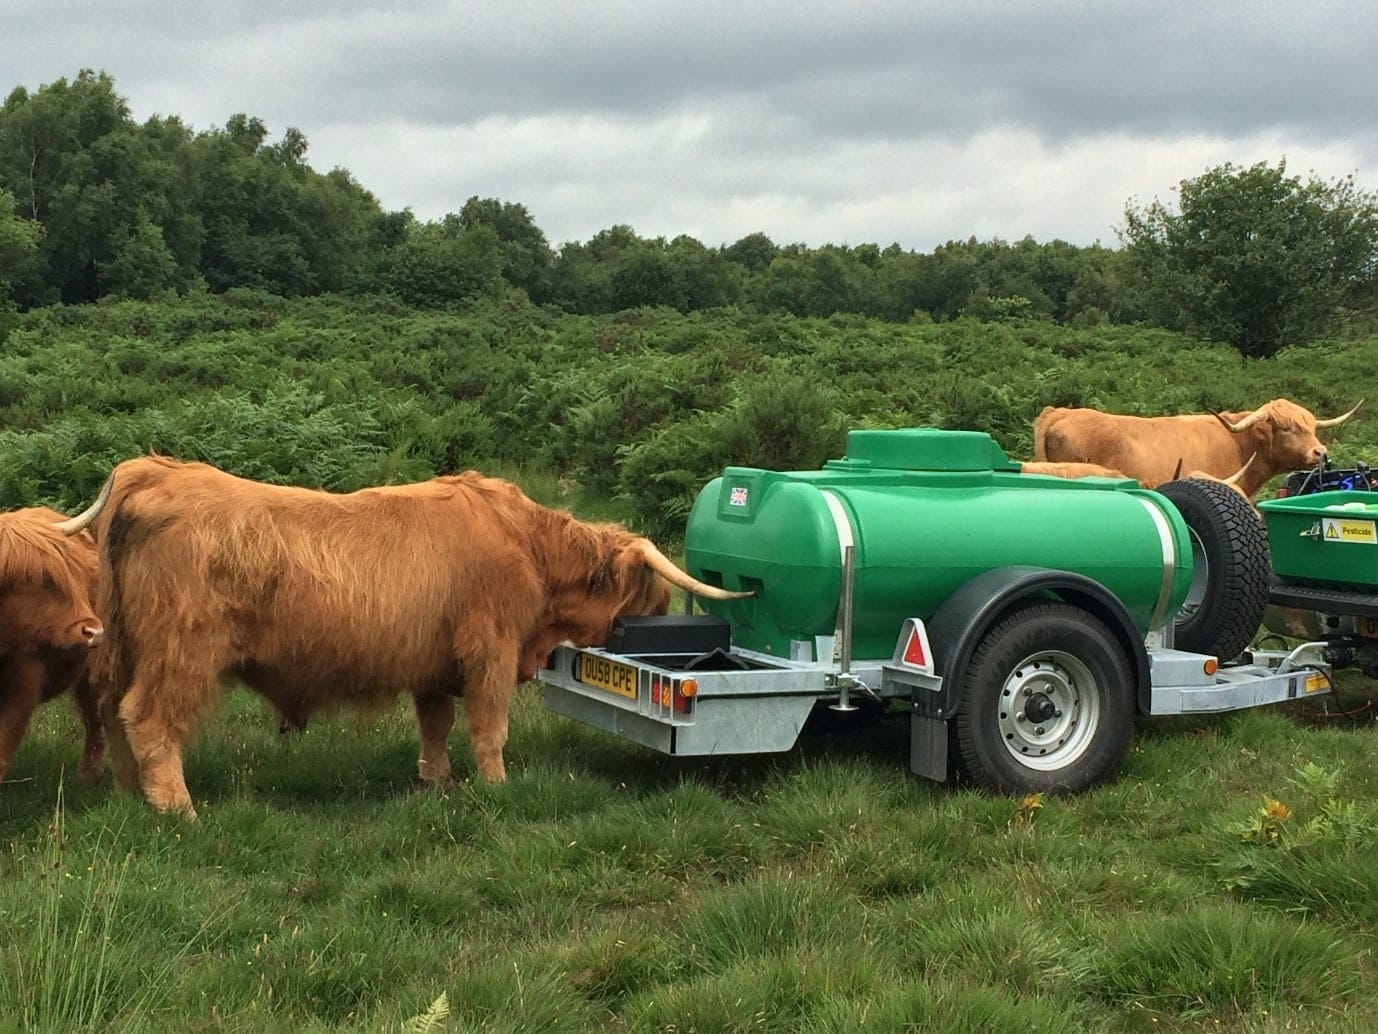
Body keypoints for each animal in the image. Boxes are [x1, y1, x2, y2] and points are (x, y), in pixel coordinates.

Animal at [55, 457, 750, 819]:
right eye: (653, 593)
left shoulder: (434, 662)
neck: (528, 546)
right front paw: (496, 787)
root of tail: (154, 470)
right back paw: (177, 810)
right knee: (149, 718)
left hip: (123, 649)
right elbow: (489, 727)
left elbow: (436, 724)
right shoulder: (491, 648)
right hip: (182, 649)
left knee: (112, 713)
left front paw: (436, 782)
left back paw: (129, 795)